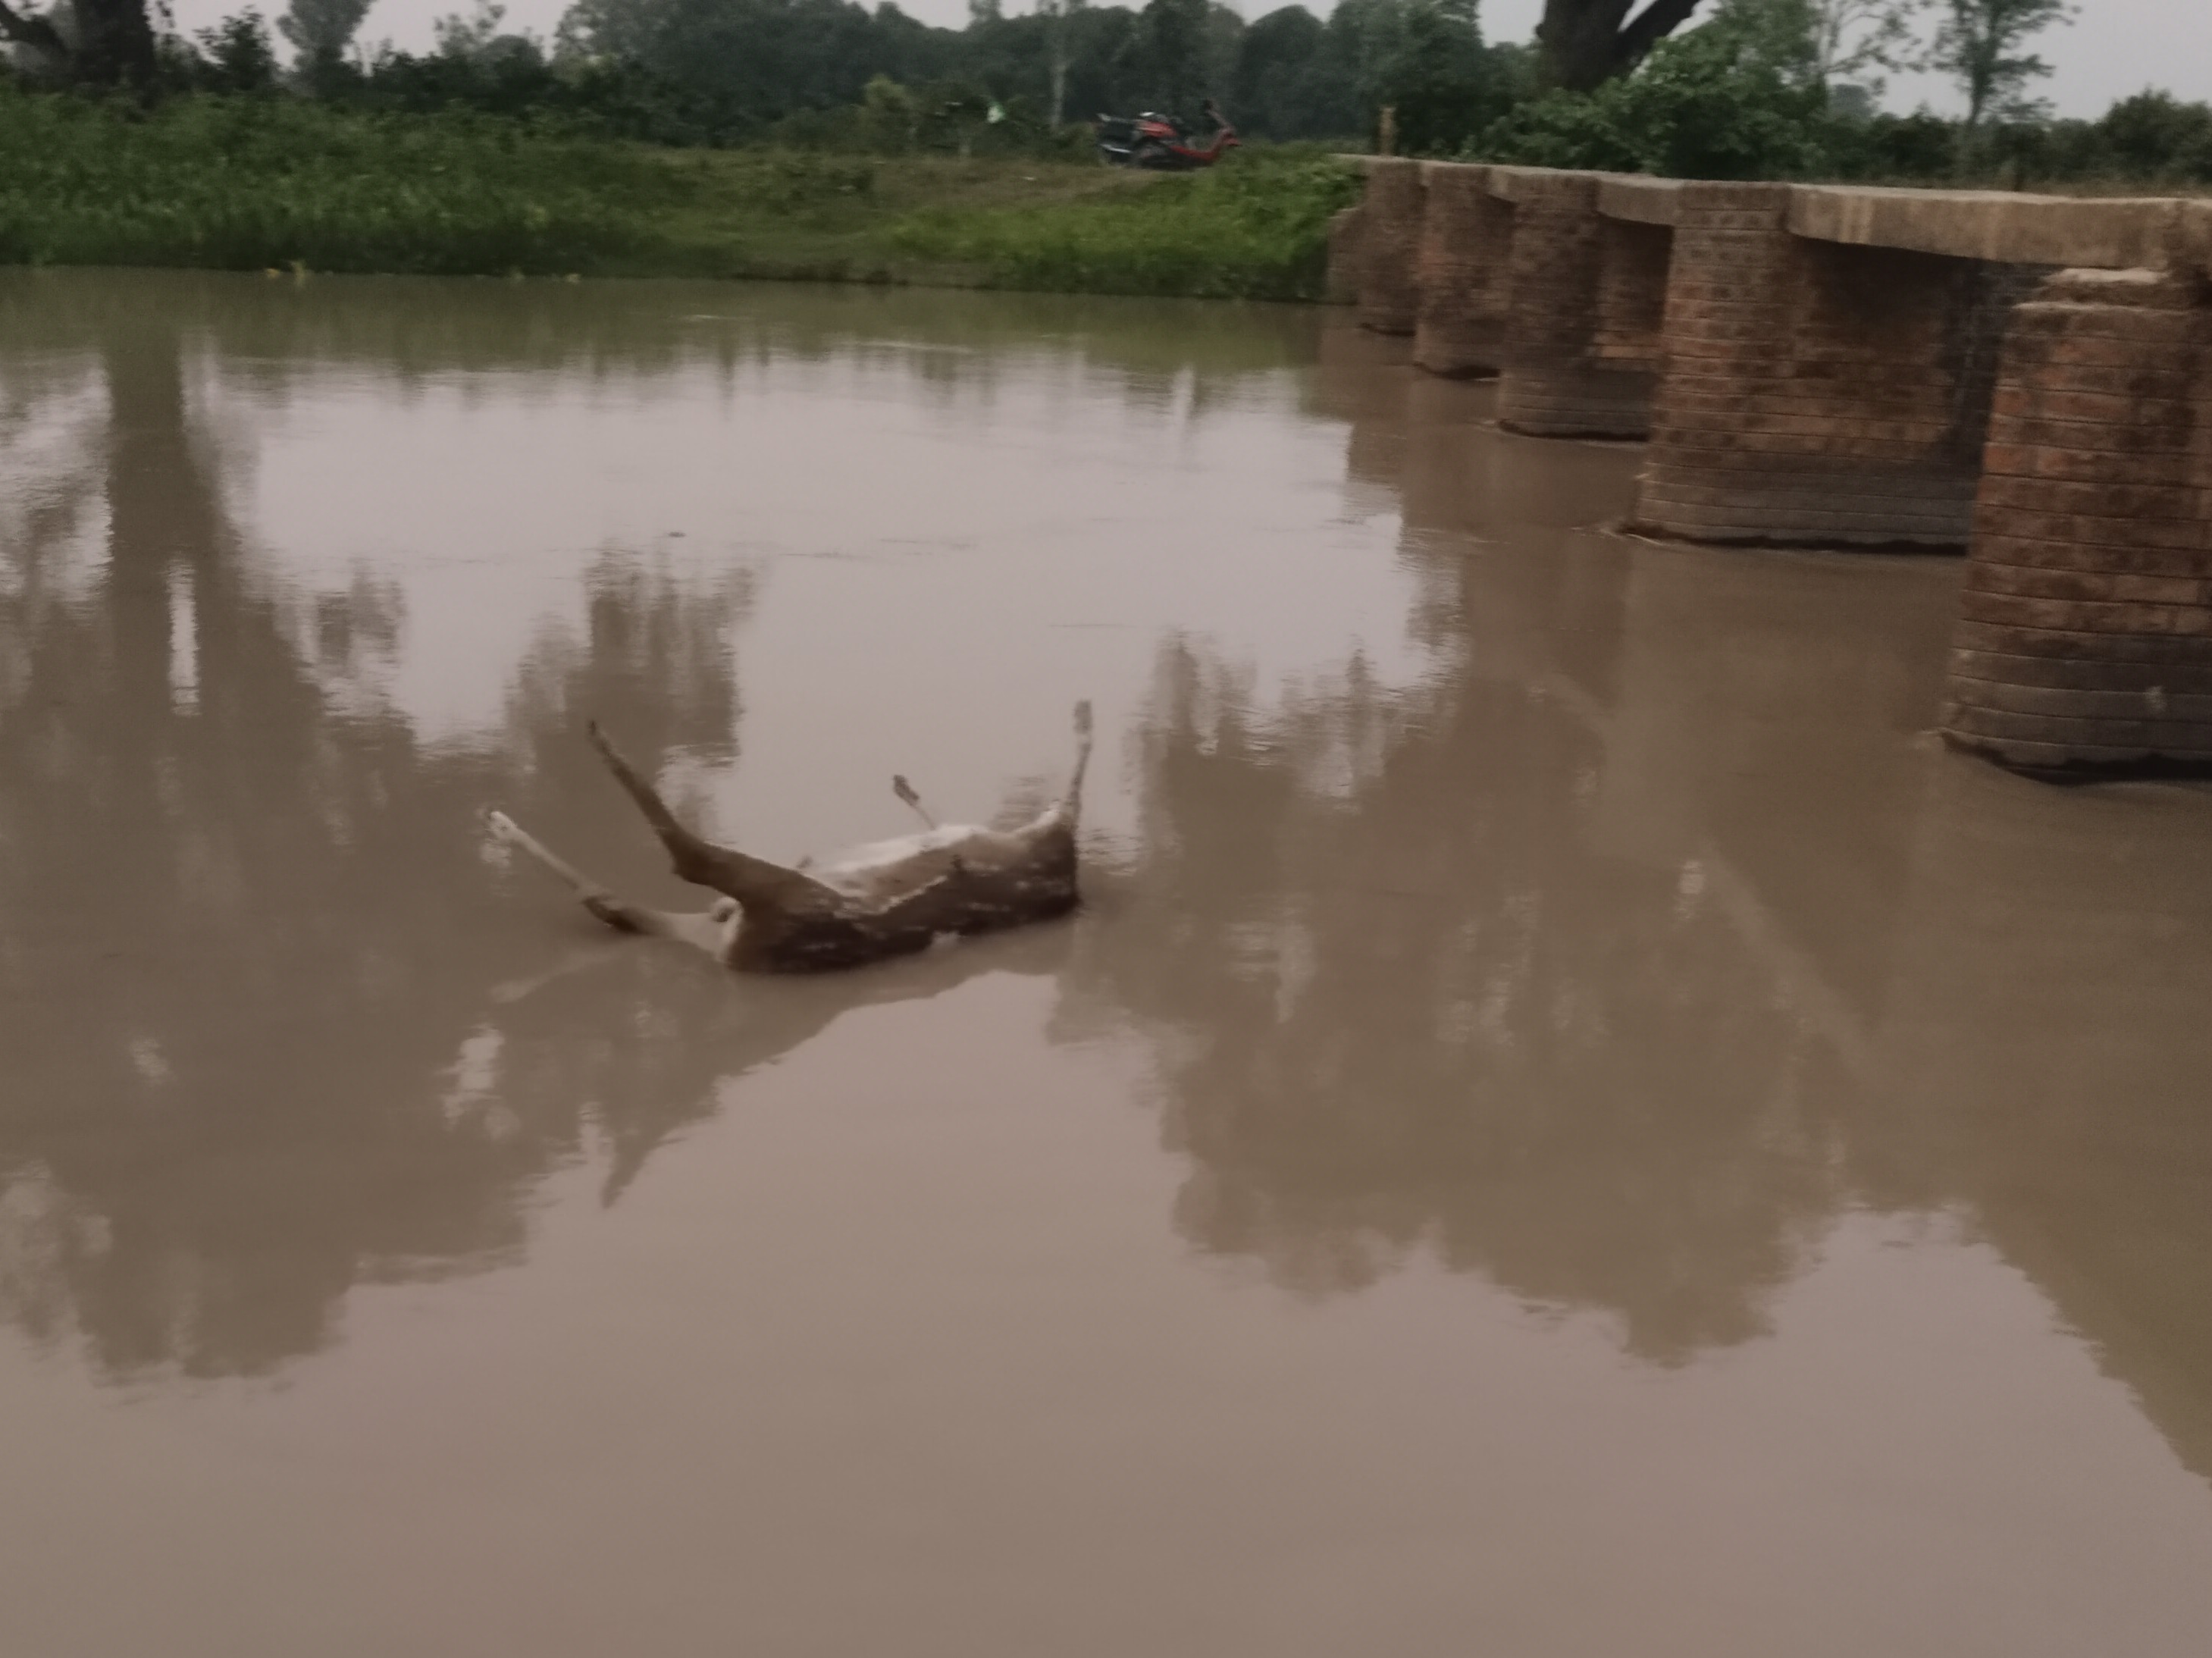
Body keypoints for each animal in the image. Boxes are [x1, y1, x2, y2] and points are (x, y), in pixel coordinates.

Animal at [486, 701, 1093, 973]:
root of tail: (727, 947)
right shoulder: (1028, 837)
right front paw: (904, 786)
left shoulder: (1048, 839)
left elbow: (1074, 780)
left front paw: (1084, 716)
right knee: (619, 898)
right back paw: (502, 817)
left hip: (785, 896)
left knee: (680, 859)